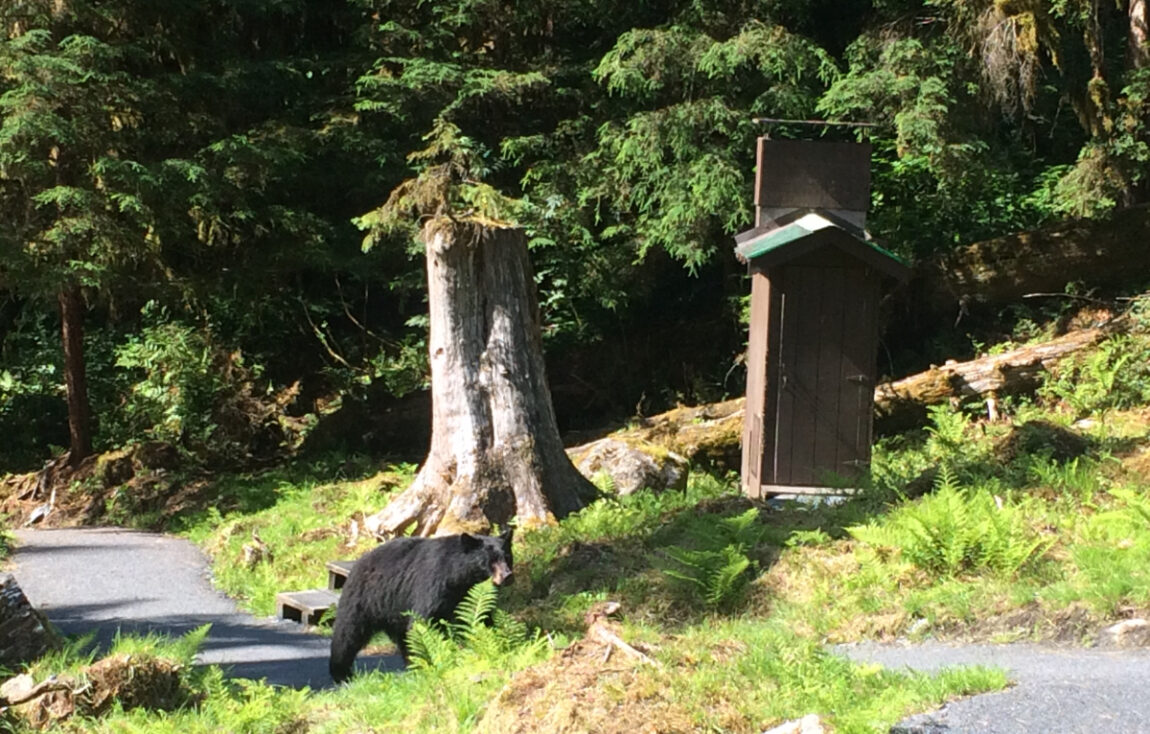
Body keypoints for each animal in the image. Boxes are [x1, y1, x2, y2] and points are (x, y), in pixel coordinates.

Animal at [329, 528, 514, 682]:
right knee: (348, 633)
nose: (507, 576)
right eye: (490, 561)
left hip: (396, 611)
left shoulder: (468, 597)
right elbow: (424, 621)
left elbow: (483, 618)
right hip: (366, 599)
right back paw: (341, 673)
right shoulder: (433, 585)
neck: (460, 578)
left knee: (403, 637)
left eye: (507, 557)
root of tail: (358, 562)